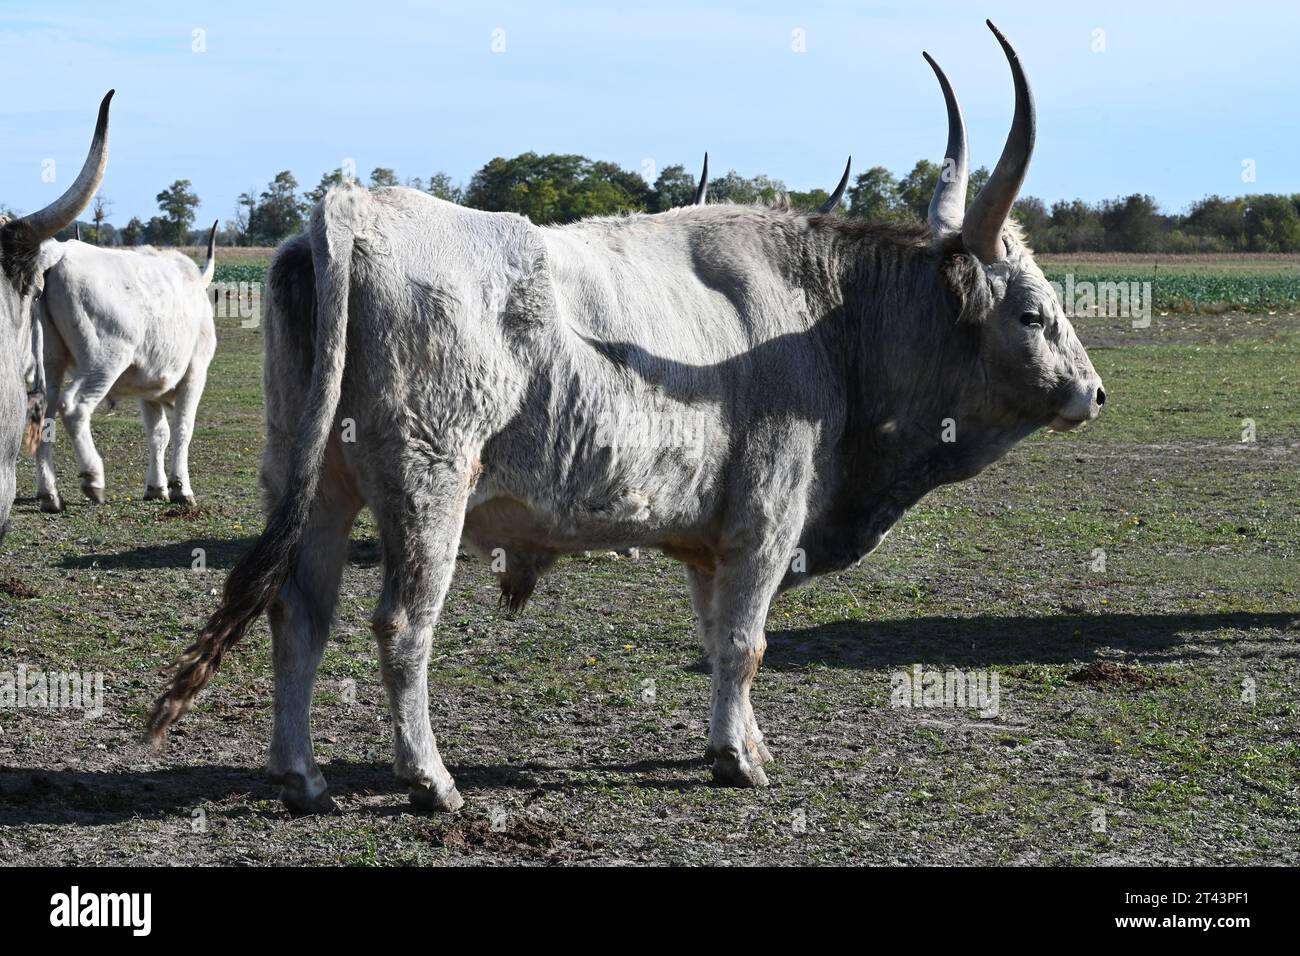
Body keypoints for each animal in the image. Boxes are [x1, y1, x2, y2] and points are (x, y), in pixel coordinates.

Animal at [32, 221, 219, 510]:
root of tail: (61, 252)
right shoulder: (195, 376)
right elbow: (182, 430)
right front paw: (180, 488)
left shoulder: (149, 389)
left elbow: (158, 434)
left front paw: (156, 487)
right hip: (104, 361)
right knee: (74, 408)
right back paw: (93, 478)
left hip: (50, 361)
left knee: (44, 413)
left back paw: (50, 494)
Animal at [146, 22, 1104, 814]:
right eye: (1031, 314)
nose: (1092, 392)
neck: (822, 322)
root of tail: (354, 209)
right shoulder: (767, 515)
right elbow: (748, 640)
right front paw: (738, 762)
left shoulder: (712, 537)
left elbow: (718, 638)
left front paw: (742, 741)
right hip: (430, 482)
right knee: (402, 624)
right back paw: (431, 780)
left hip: (311, 480)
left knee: (297, 614)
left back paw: (300, 775)